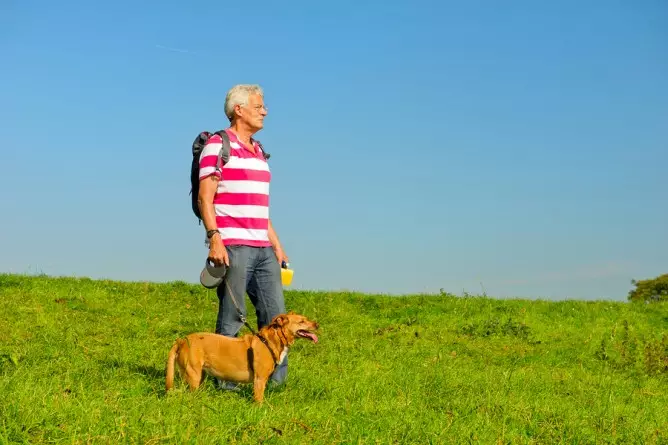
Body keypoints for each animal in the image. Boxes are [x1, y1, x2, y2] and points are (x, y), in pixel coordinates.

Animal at [163, 310, 318, 400]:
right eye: (302, 321)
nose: (317, 324)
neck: (272, 340)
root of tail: (182, 340)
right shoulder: (259, 379)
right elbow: (259, 400)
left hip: (200, 375)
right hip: (193, 374)